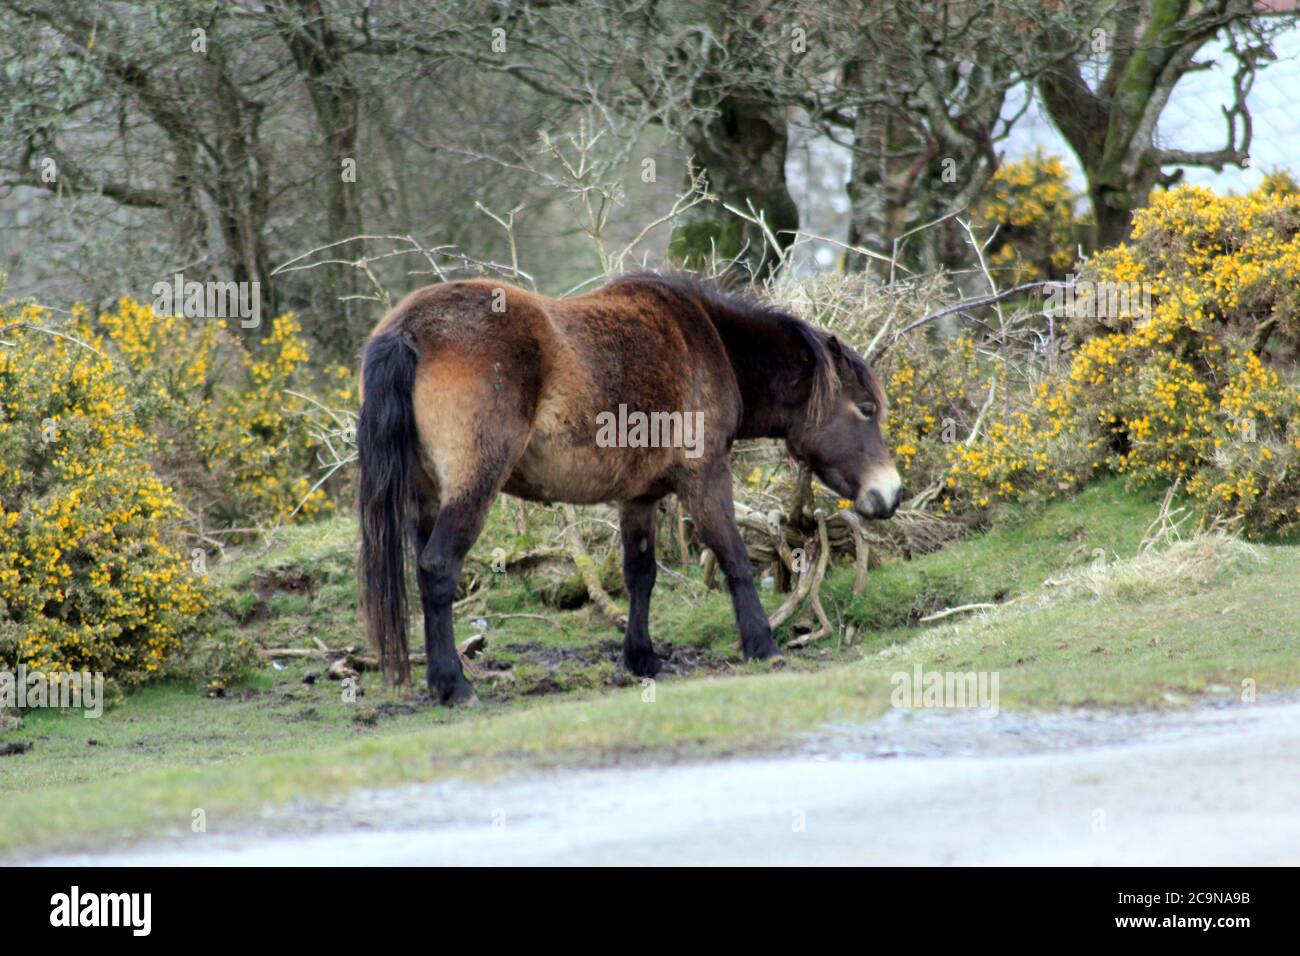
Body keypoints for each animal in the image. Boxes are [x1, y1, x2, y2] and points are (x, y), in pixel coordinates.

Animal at [356, 272, 901, 705]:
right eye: (865, 408)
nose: (890, 493)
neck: (709, 341)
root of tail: (409, 331)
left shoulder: (639, 496)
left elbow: (640, 574)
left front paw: (641, 658)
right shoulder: (705, 477)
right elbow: (735, 558)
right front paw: (762, 645)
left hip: (427, 497)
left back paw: (438, 679)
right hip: (474, 486)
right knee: (438, 568)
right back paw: (454, 686)